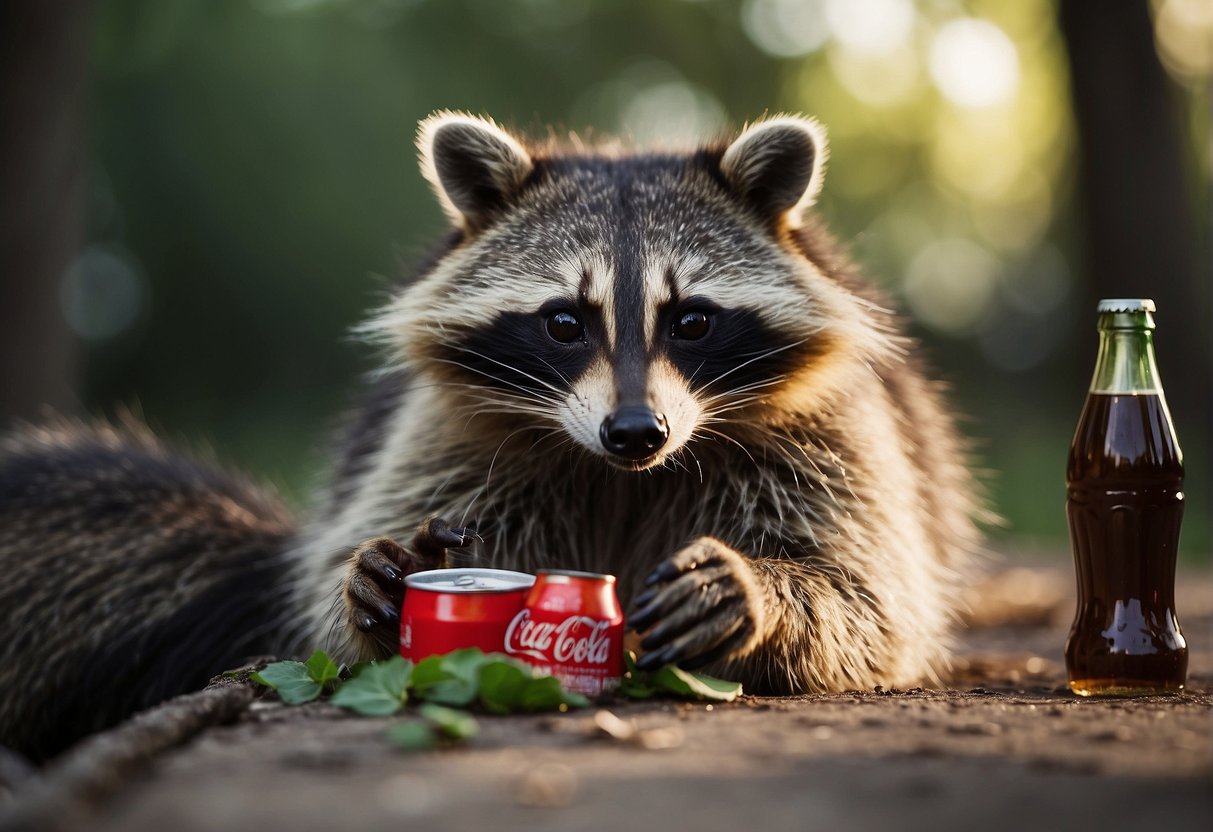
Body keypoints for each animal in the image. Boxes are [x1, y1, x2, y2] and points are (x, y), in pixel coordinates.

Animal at [0, 112, 981, 761]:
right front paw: (386, 578)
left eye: (693, 320)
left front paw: (753, 592)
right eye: (564, 322)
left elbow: (869, 598)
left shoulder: (825, 426)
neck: (618, 472)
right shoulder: (447, 429)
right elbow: (339, 600)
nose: (636, 431)